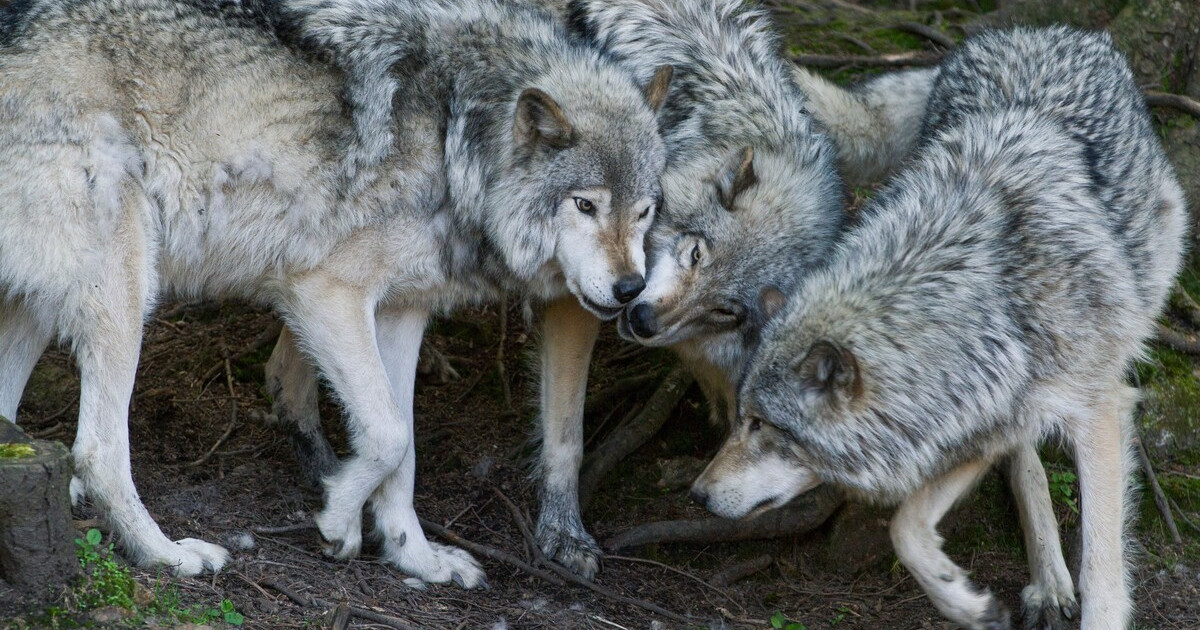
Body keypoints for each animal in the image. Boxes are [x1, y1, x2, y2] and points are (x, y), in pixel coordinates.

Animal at [0, 0, 671, 584]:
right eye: (585, 205)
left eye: (643, 212)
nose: (629, 287)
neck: (455, 132)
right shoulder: (325, 292)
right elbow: (387, 435)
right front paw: (336, 520)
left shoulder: (402, 310)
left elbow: (404, 452)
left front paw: (416, 558)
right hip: (123, 294)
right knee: (97, 451)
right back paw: (169, 555)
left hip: (38, 308)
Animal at [693, 26, 1187, 630]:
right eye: (741, 418)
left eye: (762, 426)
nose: (697, 496)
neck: (994, 297)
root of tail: (1024, 32)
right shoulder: (971, 420)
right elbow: (905, 528)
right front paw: (963, 601)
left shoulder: (1097, 410)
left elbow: (1101, 565)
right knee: (1026, 468)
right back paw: (1047, 583)